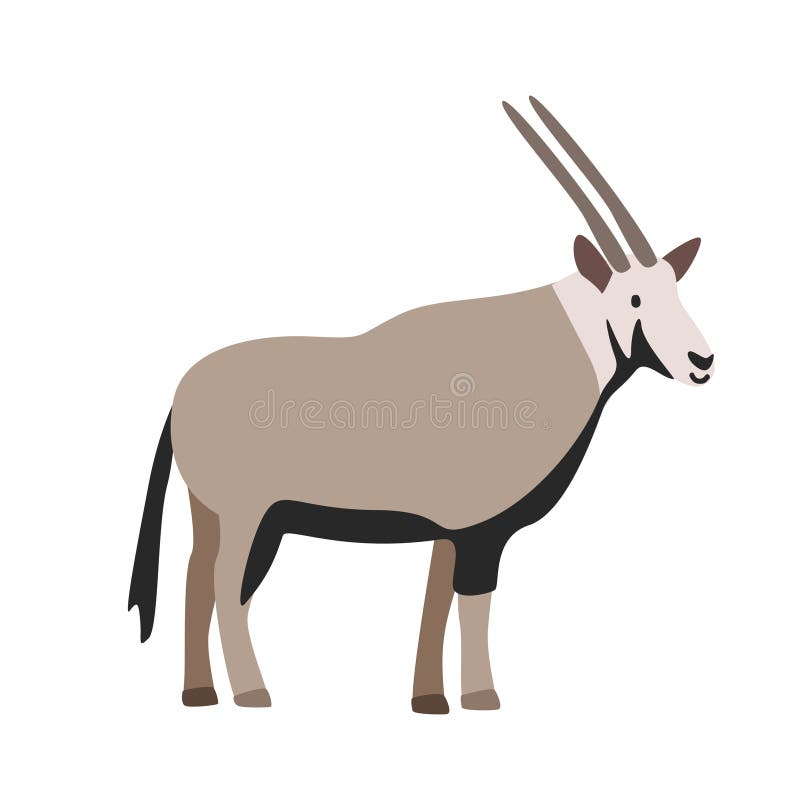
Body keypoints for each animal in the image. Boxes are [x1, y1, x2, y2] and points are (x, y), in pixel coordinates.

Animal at [129, 96, 714, 712]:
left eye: (676, 289)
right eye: (634, 298)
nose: (701, 361)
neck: (559, 342)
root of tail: (180, 396)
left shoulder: (447, 530)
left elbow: (435, 601)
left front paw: (429, 699)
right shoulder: (481, 532)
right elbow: (472, 601)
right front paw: (482, 696)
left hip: (214, 514)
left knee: (196, 579)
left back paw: (199, 692)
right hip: (250, 517)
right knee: (226, 587)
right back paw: (253, 692)